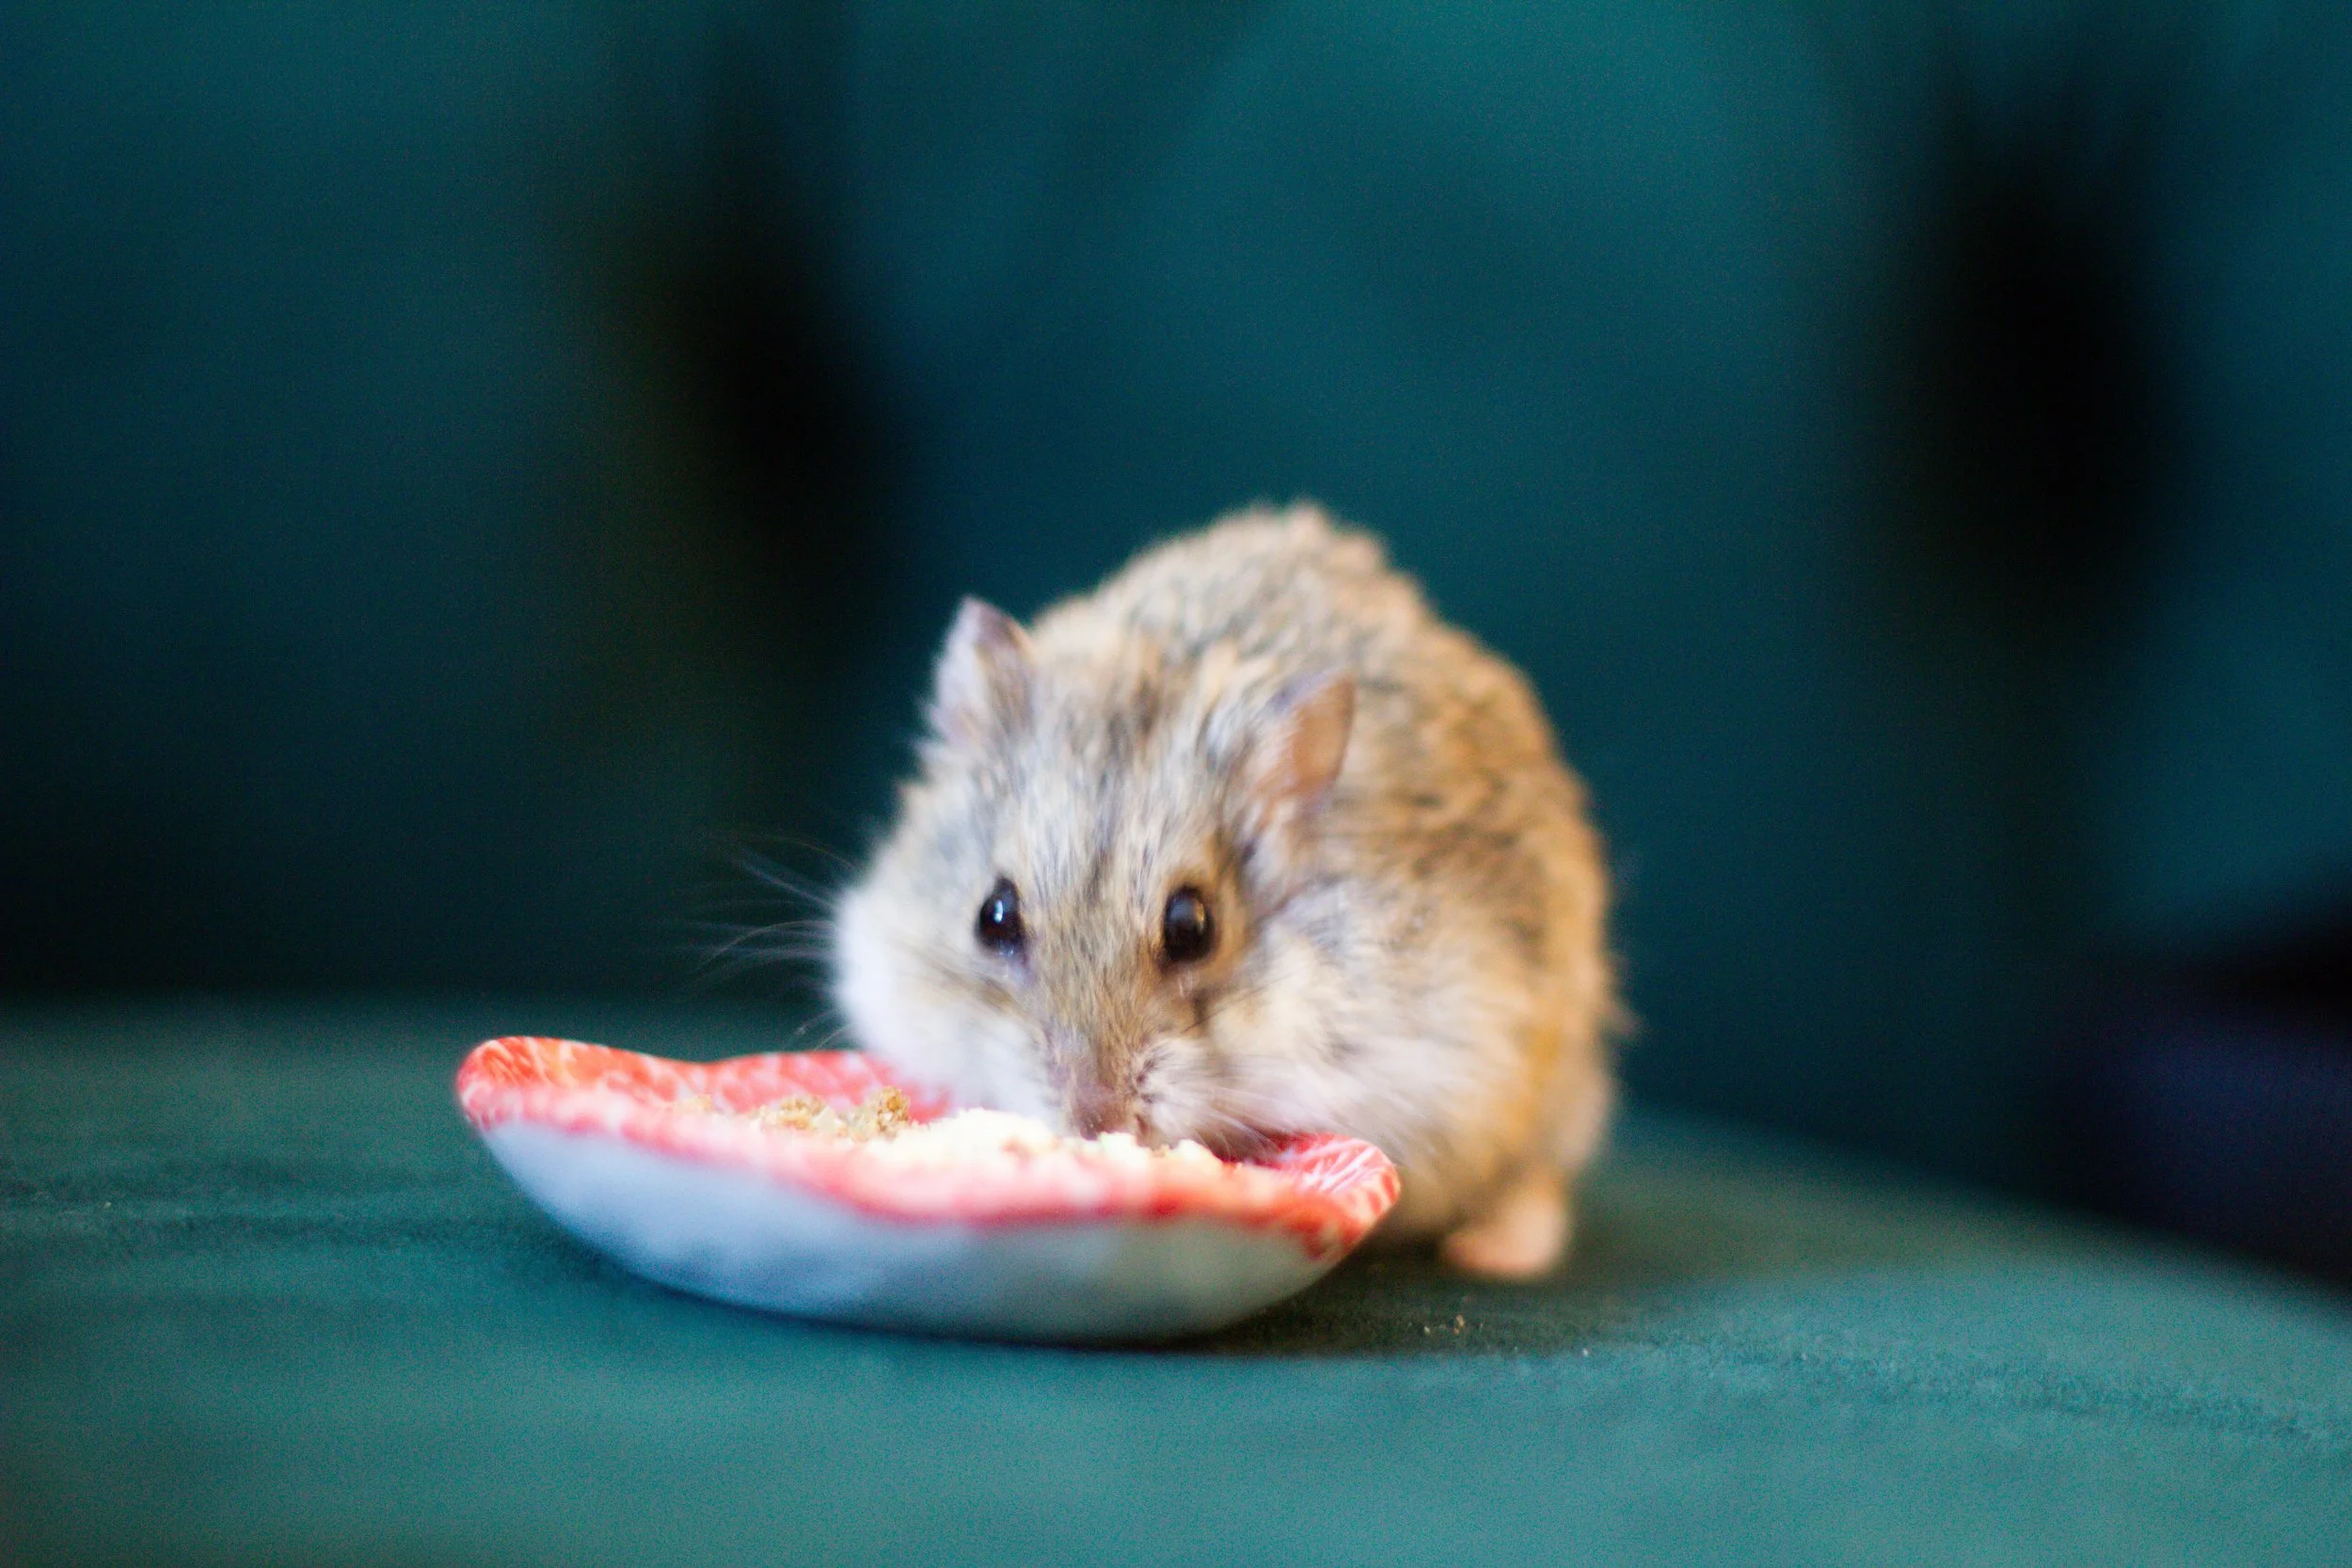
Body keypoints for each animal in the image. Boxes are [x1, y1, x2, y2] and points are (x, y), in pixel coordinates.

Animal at [830, 504, 1616, 1277]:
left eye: (1193, 927)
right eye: (992, 917)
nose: (1094, 1123)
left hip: (1561, 1081)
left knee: (1538, 1180)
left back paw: (1492, 1252)